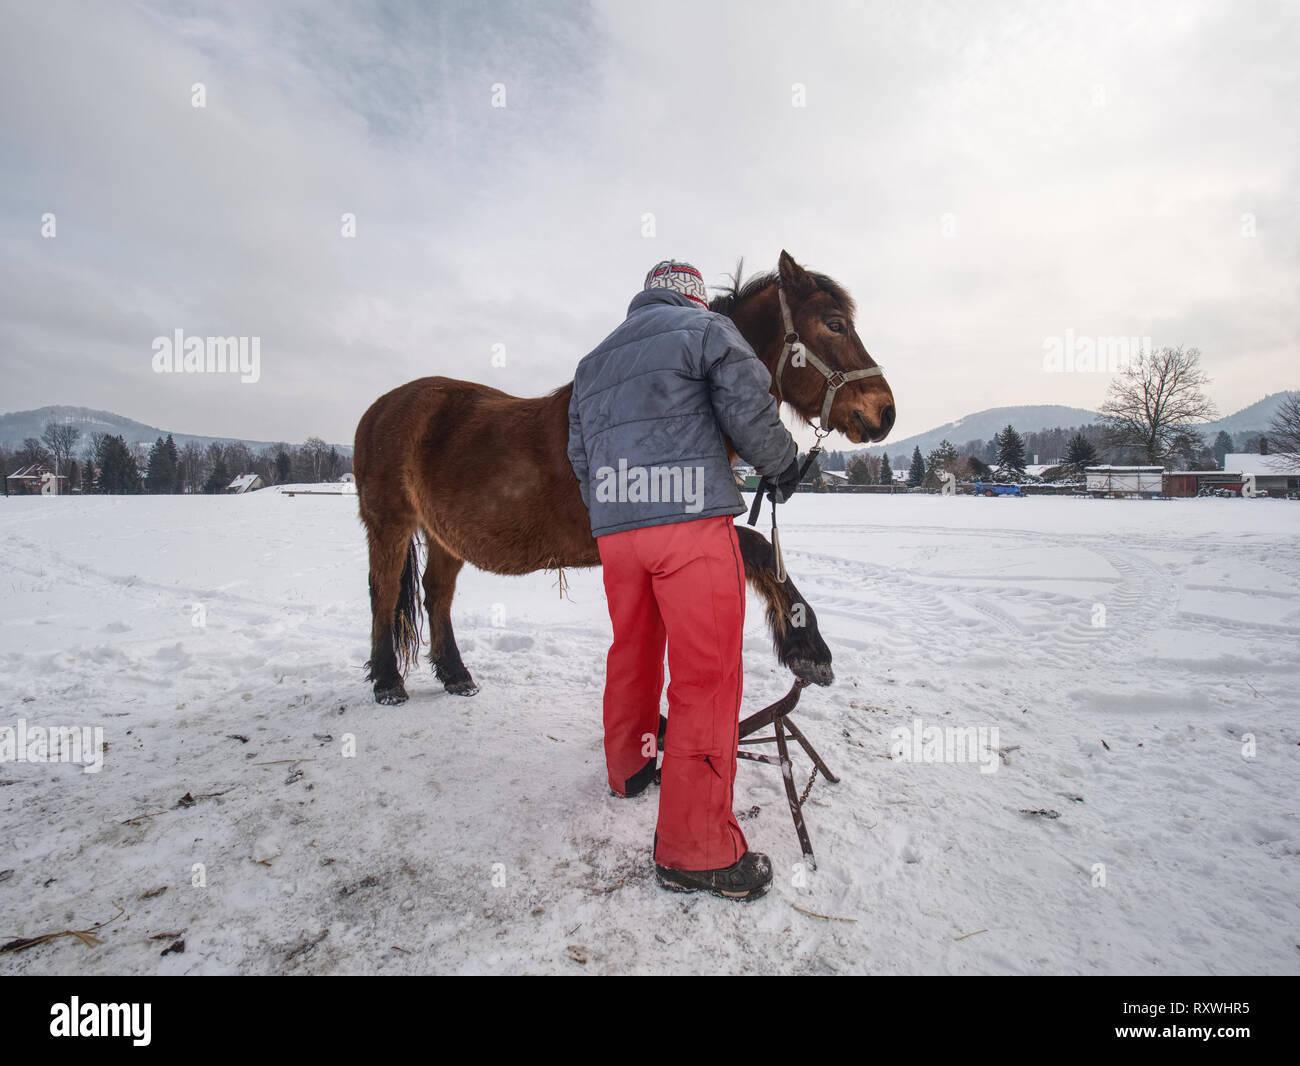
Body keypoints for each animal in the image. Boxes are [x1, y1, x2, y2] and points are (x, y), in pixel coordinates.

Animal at [354, 250, 895, 705]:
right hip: (389, 525)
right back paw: (387, 683)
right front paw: (810, 649)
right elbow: (761, 548)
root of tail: (381, 406)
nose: (885, 412)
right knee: (384, 592)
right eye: (835, 324)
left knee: (436, 596)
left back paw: (455, 675)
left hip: (445, 536)